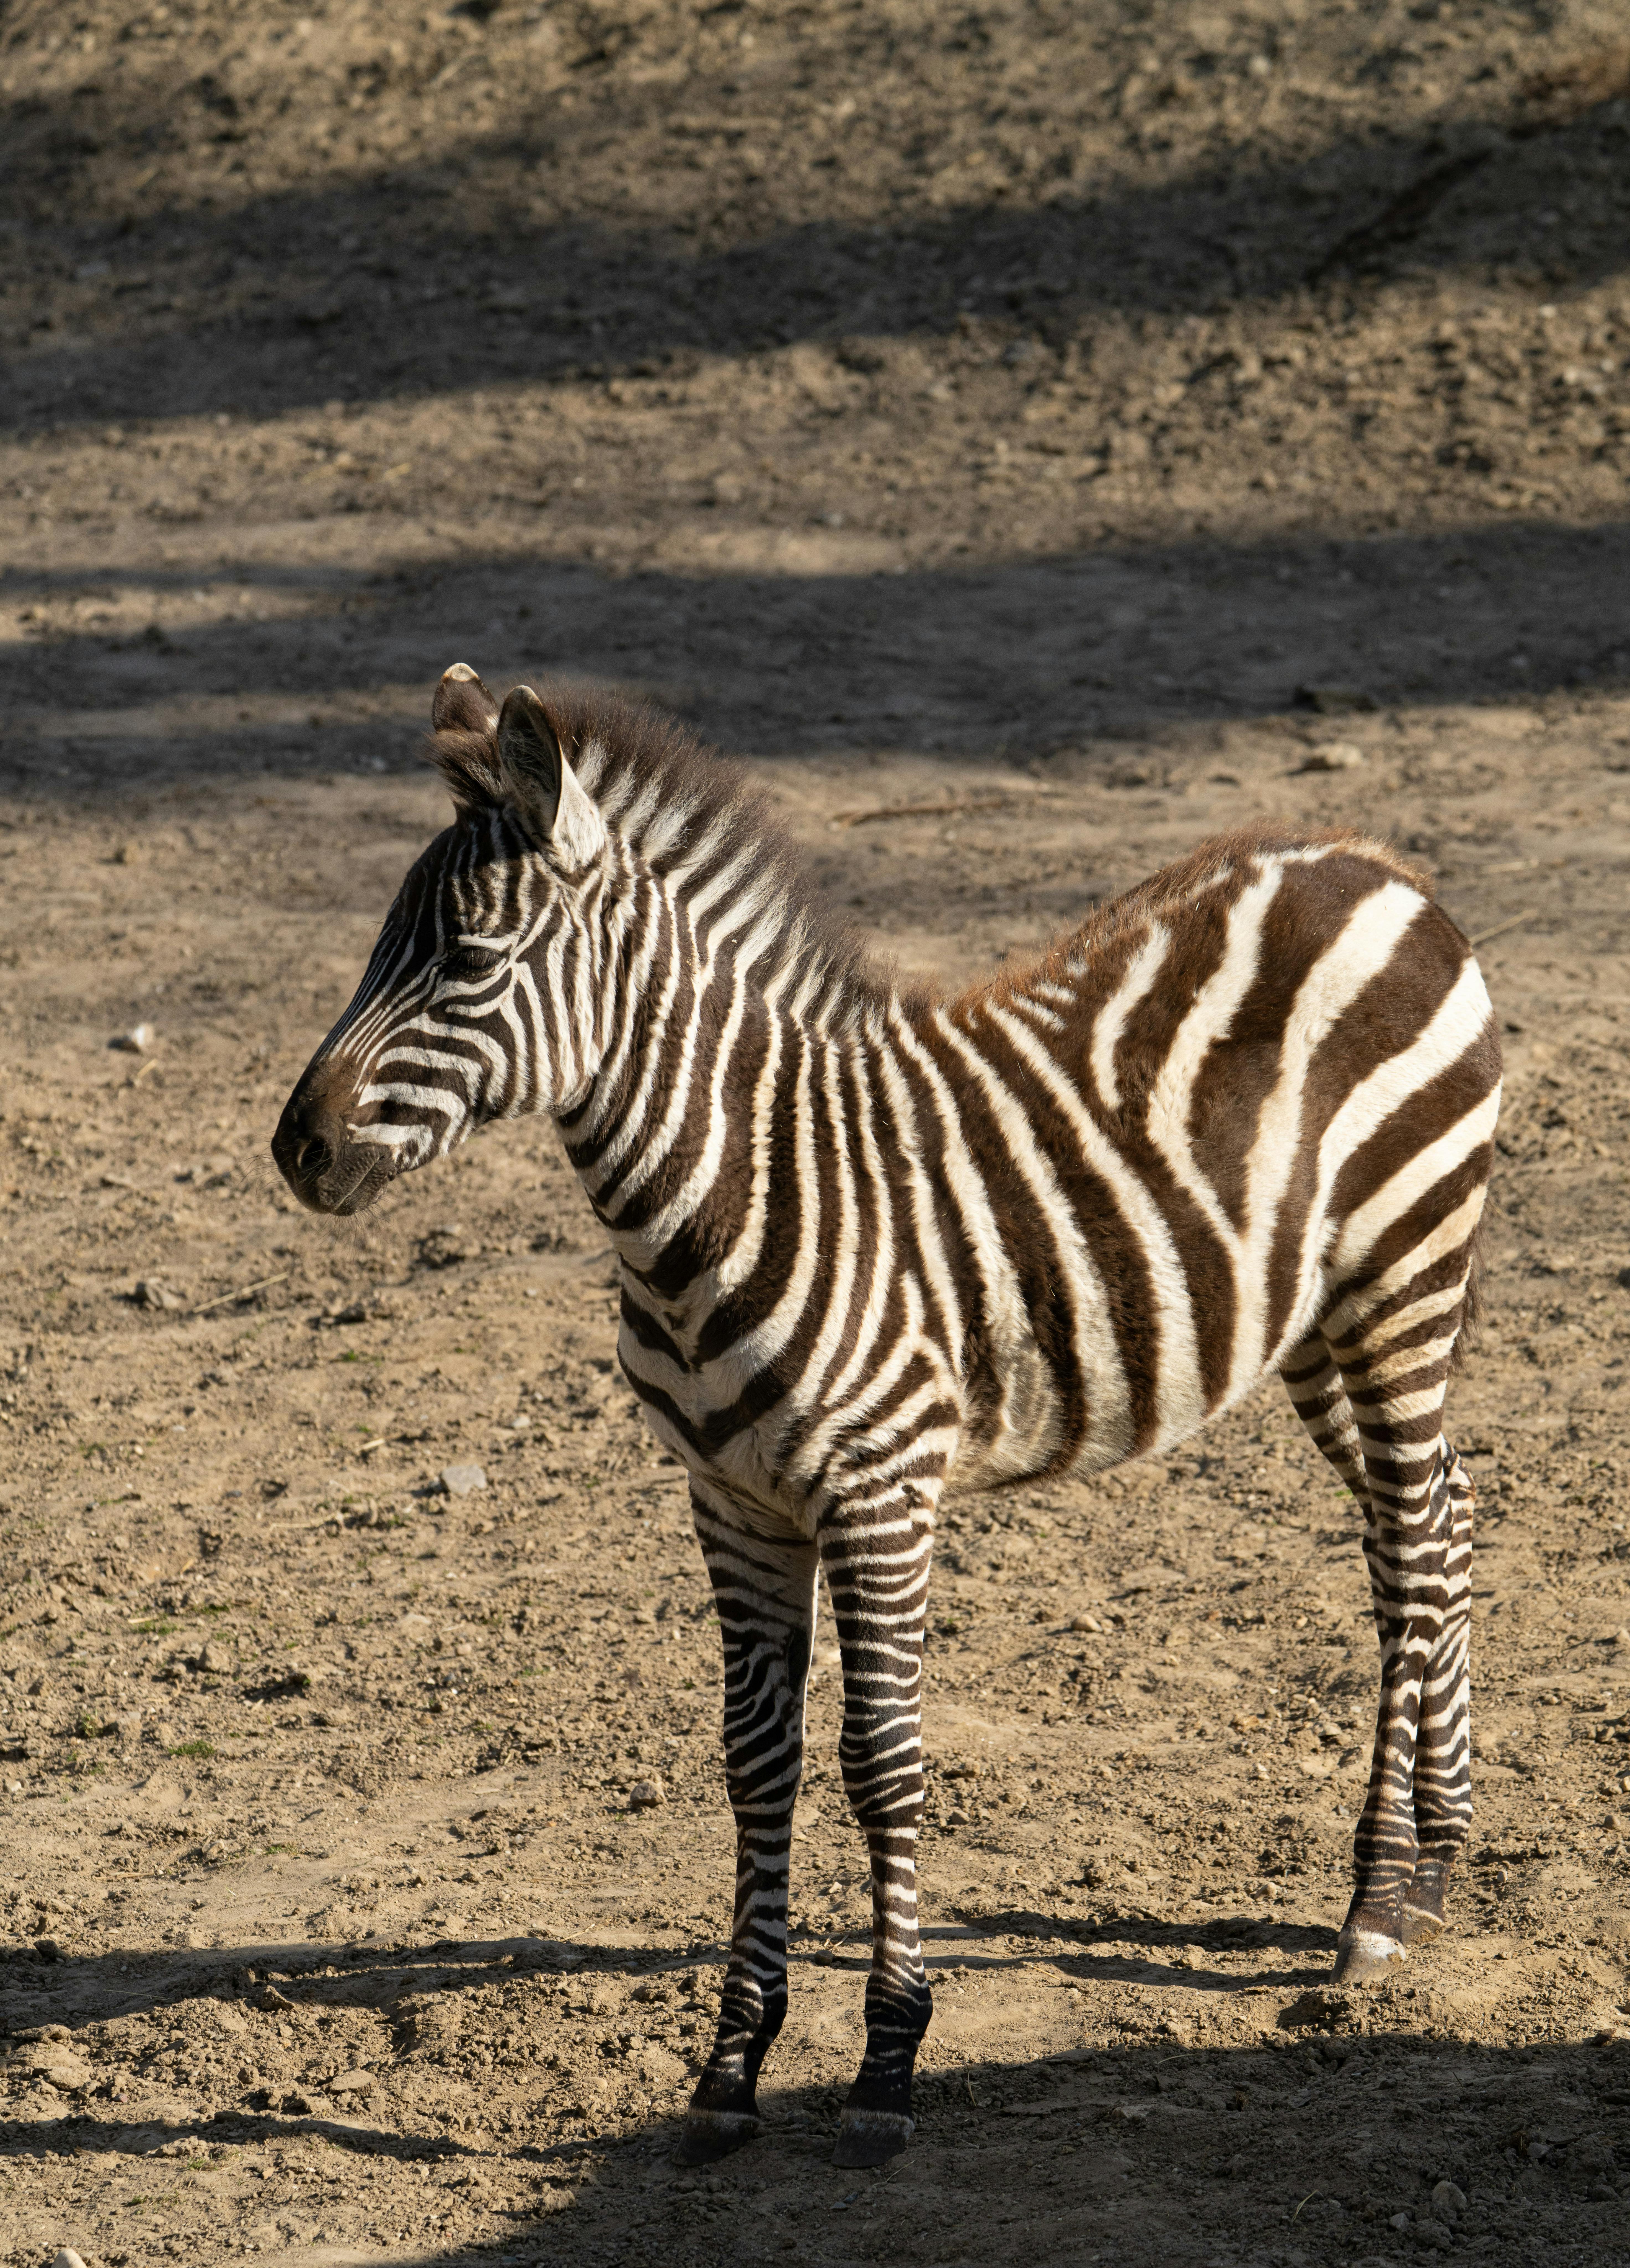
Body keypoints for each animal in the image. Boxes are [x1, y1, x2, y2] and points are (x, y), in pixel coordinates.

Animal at [274, 663, 1501, 2169]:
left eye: (465, 961)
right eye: (382, 945)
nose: (296, 1149)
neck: (724, 1192)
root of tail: (1376, 865)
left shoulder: (877, 1491)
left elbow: (881, 1765)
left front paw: (884, 2060)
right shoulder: (730, 1501)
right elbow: (756, 1766)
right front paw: (730, 2070)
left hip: (1401, 1274)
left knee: (1412, 1554)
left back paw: (1378, 1898)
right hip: (1311, 1318)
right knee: (1436, 1520)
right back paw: (1436, 1855)